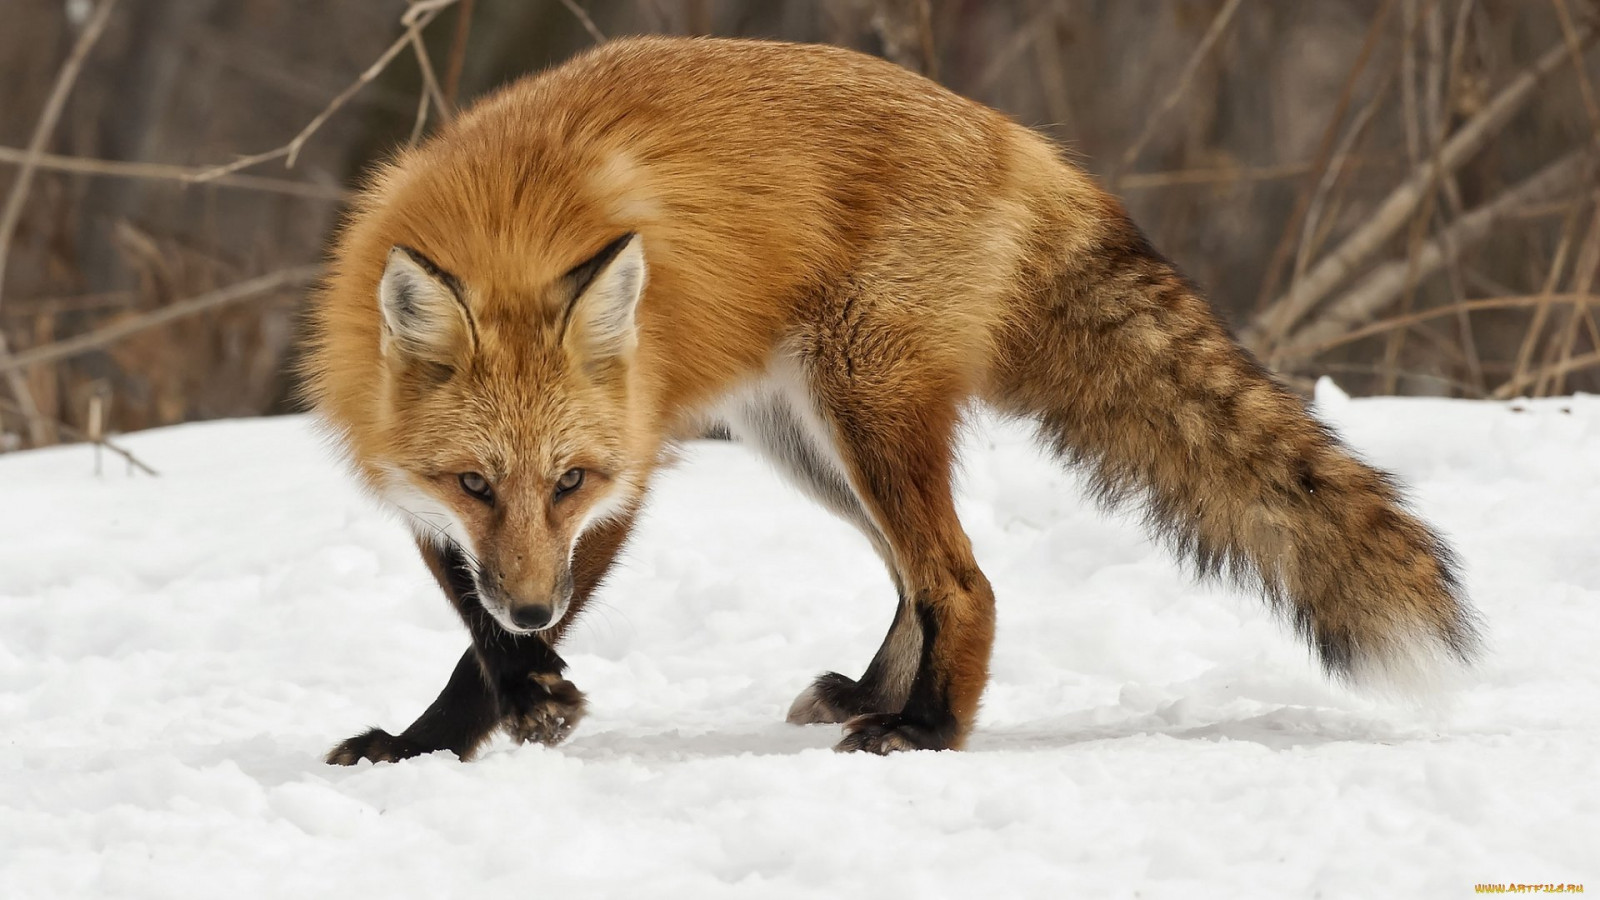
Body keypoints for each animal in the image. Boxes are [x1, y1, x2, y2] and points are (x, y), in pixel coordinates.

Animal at [303, 36, 1480, 763]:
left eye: (569, 480)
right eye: (474, 482)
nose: (540, 615)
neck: (505, 223)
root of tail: (1020, 140)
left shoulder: (624, 475)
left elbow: (486, 640)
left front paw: (501, 711)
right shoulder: (432, 507)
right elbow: (475, 624)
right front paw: (437, 737)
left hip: (867, 413)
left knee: (965, 582)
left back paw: (925, 733)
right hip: (808, 441)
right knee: (916, 584)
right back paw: (878, 698)